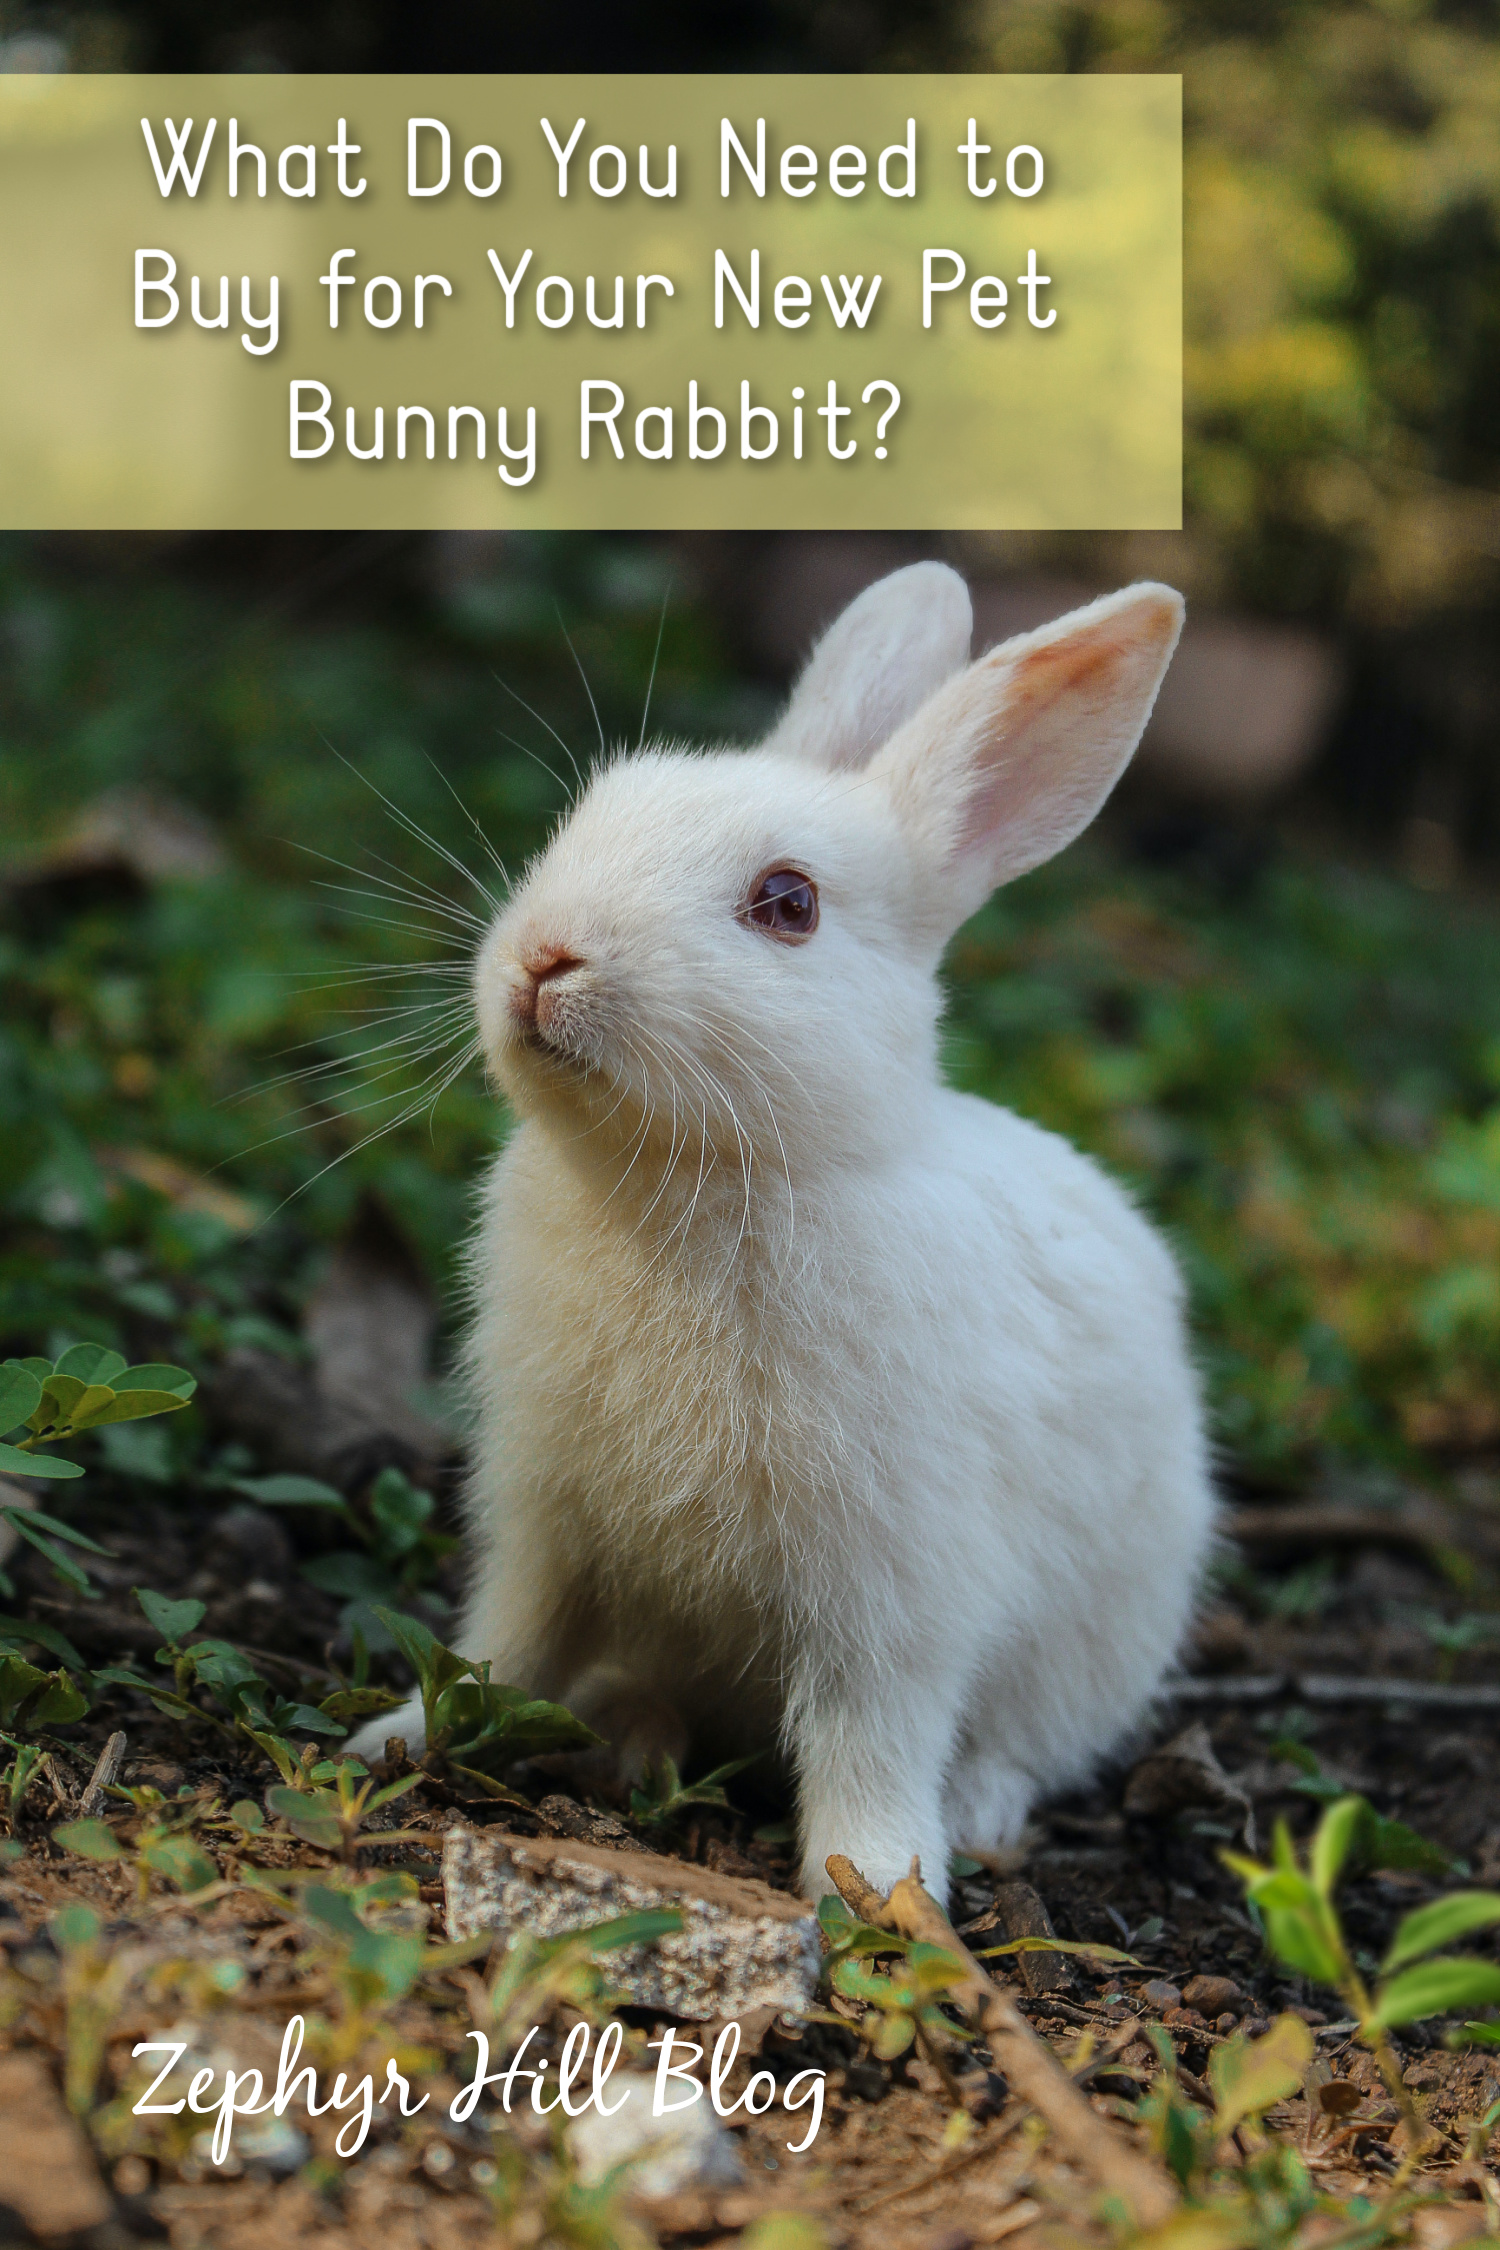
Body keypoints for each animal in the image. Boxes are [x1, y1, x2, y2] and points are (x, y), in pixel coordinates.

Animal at [350, 563, 1217, 1902]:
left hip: (1102, 1636)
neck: (697, 1179)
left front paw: (880, 1889)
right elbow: (505, 1642)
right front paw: (400, 1737)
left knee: (1022, 1744)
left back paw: (976, 1815)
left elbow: (872, 1734)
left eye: (789, 904)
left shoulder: (893, 1588)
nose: (545, 958)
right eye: (588, 816)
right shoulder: (544, 1519)